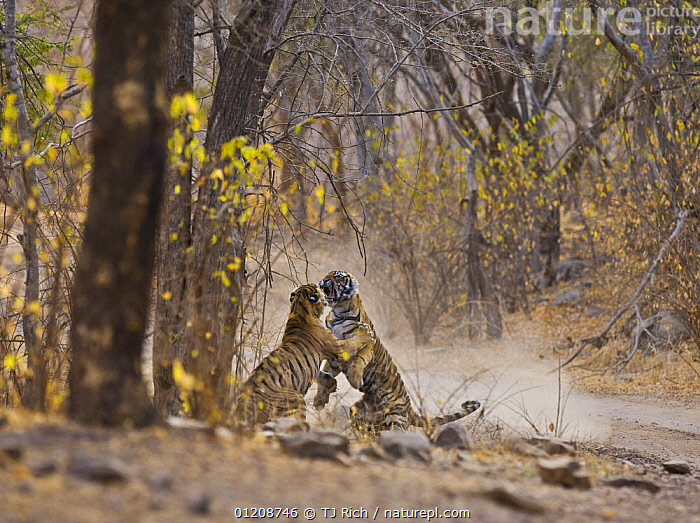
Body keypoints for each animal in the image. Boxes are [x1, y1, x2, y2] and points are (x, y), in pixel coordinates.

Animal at [234, 283, 373, 427]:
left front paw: (331, 383)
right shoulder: (338, 348)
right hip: (296, 398)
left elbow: (320, 374)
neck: (299, 307)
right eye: (318, 288)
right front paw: (366, 332)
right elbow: (353, 341)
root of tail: (243, 403)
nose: (322, 286)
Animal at [314, 270, 481, 433]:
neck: (338, 313)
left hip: (396, 416)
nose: (323, 281)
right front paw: (319, 400)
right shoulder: (335, 355)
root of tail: (409, 408)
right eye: (327, 275)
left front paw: (355, 380)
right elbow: (327, 373)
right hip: (359, 410)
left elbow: (359, 359)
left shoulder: (368, 344)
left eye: (337, 277)